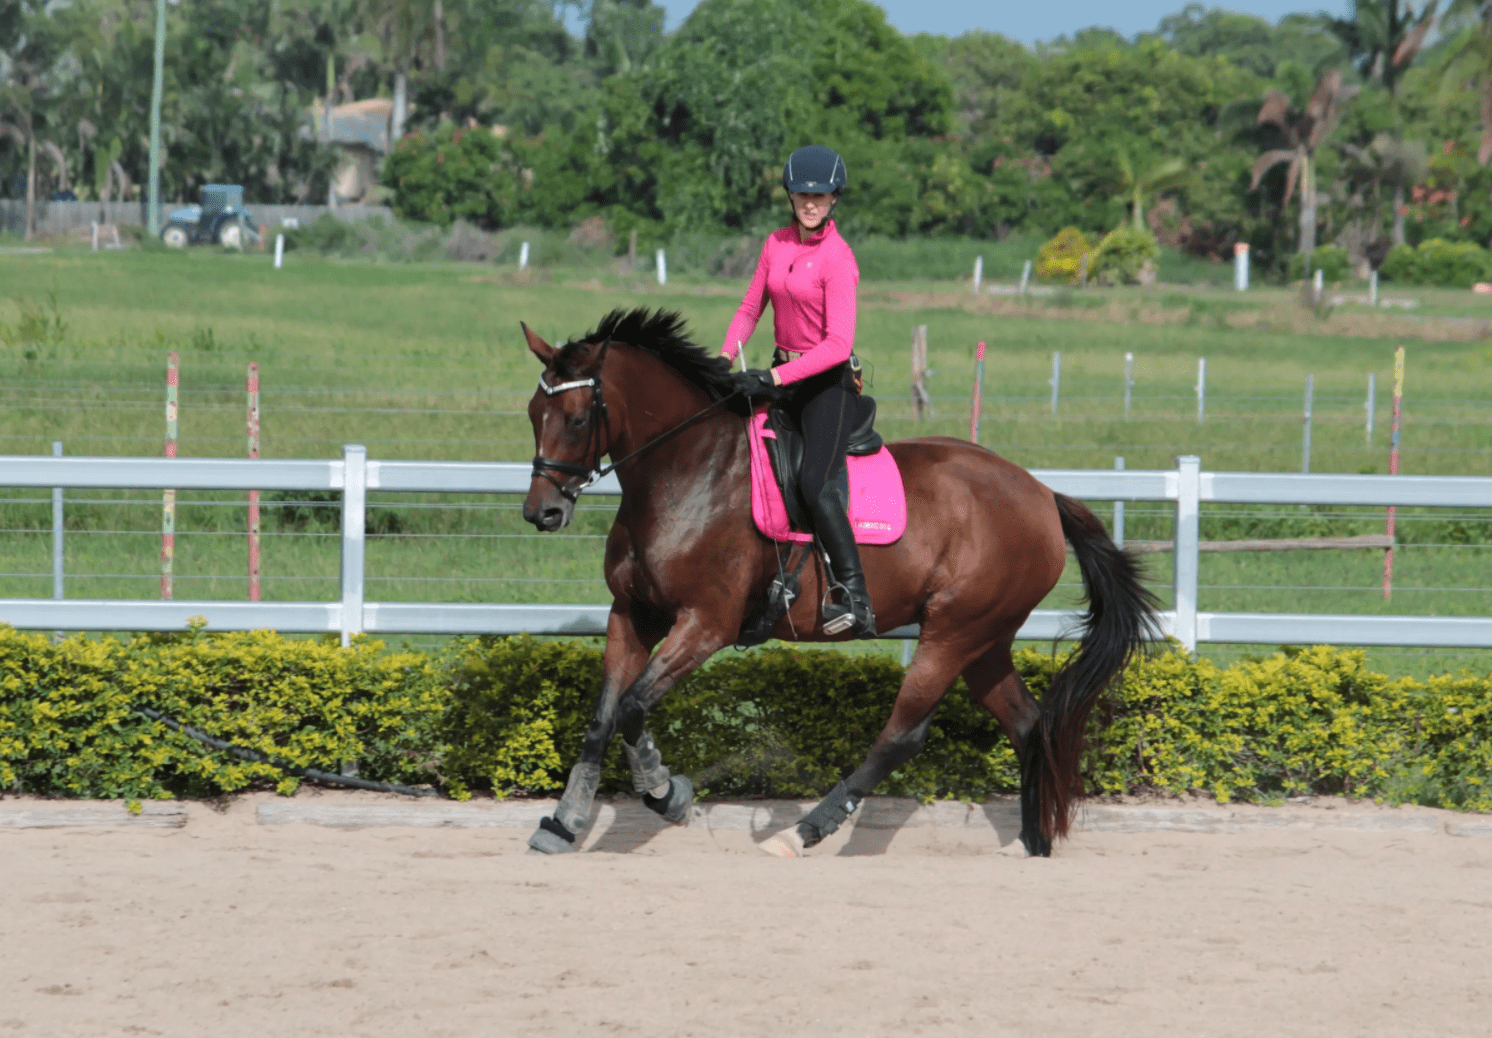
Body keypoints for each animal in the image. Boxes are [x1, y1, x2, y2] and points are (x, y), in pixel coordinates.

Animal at [519, 308, 1158, 858]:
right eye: (532, 413)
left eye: (578, 418)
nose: (541, 513)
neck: (687, 471)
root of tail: (1043, 495)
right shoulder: (632, 614)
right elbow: (603, 718)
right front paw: (564, 822)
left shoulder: (705, 625)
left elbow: (632, 707)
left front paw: (663, 789)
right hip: (987, 641)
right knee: (1027, 725)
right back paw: (1031, 843)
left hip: (953, 632)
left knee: (902, 735)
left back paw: (803, 830)